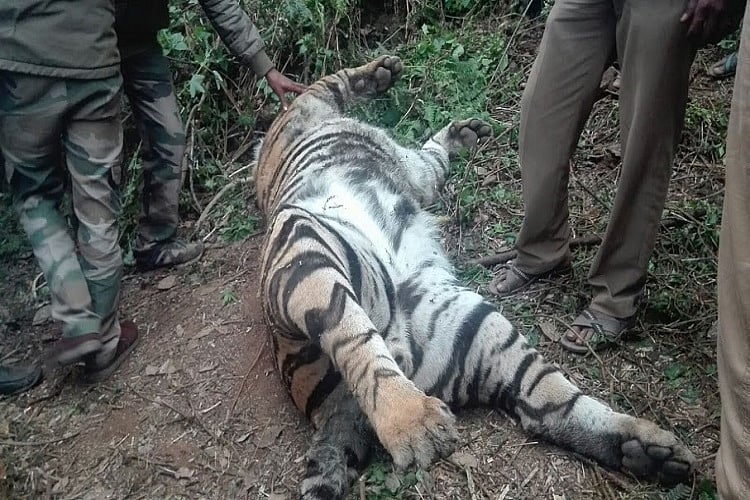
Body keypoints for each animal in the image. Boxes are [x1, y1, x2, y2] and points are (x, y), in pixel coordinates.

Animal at [253, 55, 695, 499]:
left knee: (546, 403)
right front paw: (377, 76)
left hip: (462, 320)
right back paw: (417, 423)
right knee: (354, 336)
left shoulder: (408, 166)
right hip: (306, 248)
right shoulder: (313, 117)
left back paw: (649, 452)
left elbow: (343, 95)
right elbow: (327, 84)